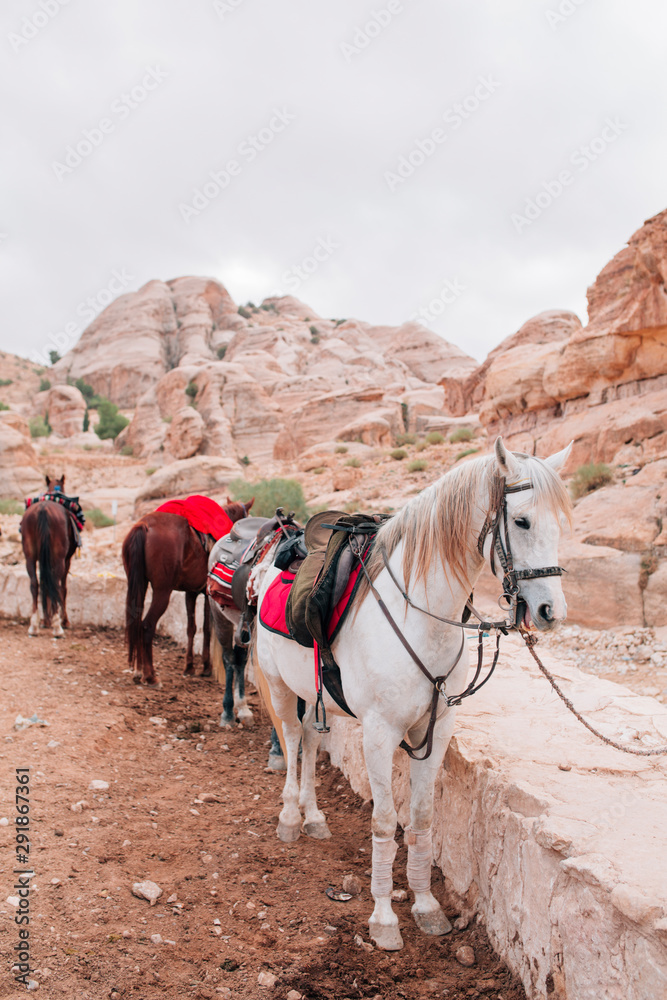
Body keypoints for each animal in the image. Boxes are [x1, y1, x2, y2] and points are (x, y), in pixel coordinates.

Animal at [21, 475, 78, 639]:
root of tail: (43, 509)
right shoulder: (67, 560)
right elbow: (62, 588)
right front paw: (64, 621)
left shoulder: (42, 559)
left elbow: (44, 585)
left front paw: (45, 621)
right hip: (59, 559)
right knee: (57, 585)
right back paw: (58, 627)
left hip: (30, 556)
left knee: (34, 584)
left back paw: (34, 625)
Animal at [122, 497, 252, 685]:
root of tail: (144, 526)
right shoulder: (206, 594)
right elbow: (206, 628)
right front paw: (206, 667)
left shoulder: (190, 593)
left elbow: (191, 628)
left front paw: (189, 667)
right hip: (162, 591)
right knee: (147, 625)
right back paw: (150, 675)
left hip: (140, 585)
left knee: (137, 622)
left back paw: (138, 671)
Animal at [253, 439, 572, 950]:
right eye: (522, 521)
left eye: (559, 523)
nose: (550, 611)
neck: (418, 615)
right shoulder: (380, 734)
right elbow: (384, 821)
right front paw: (384, 917)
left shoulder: (436, 729)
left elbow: (421, 819)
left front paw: (425, 906)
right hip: (280, 687)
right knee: (291, 737)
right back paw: (288, 818)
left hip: (318, 696)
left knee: (310, 739)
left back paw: (313, 815)